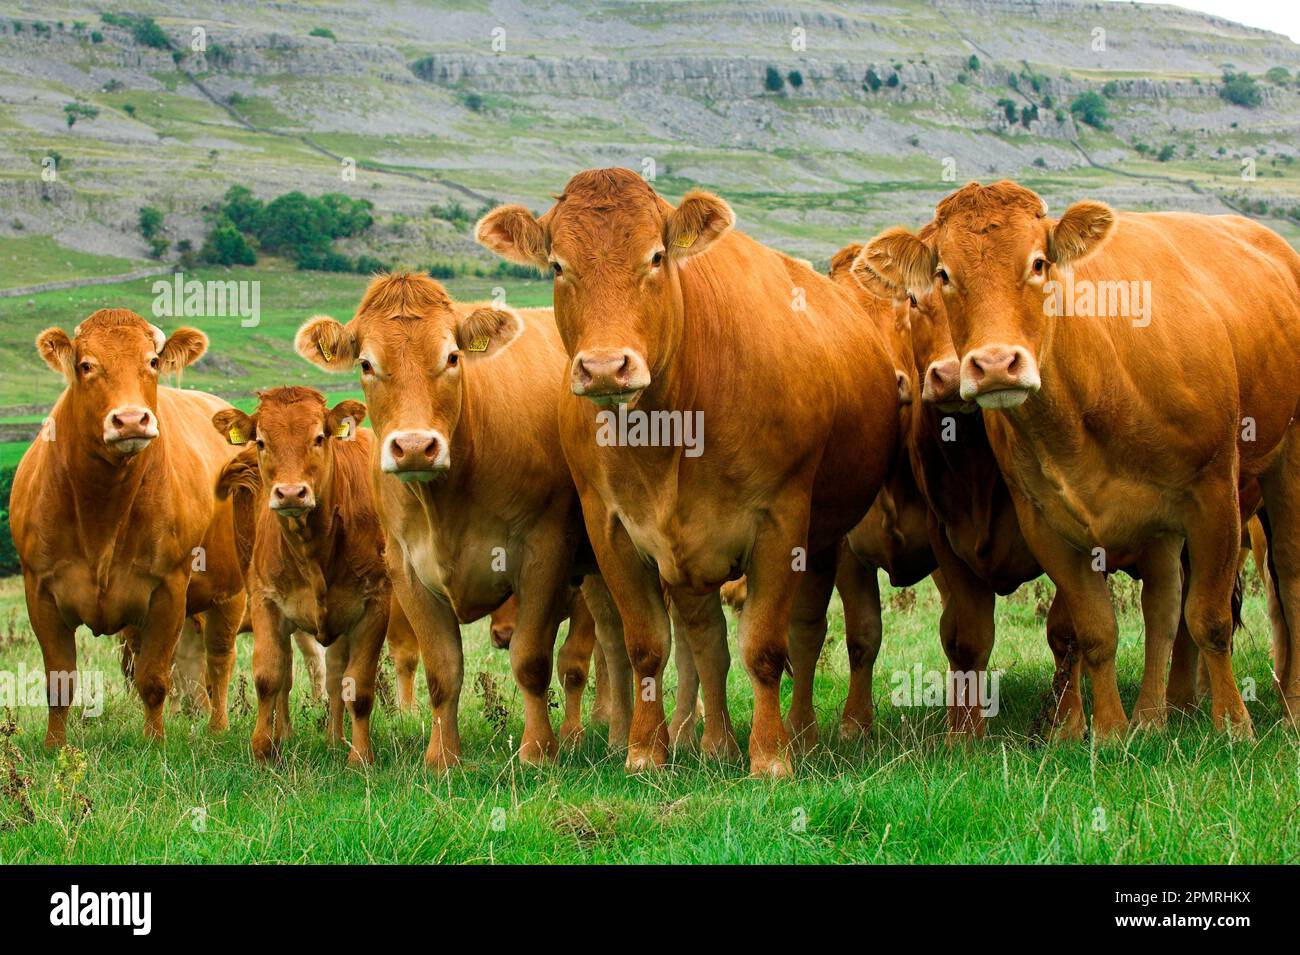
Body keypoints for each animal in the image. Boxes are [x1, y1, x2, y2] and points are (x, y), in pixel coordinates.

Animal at [10, 308, 246, 746]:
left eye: (152, 362)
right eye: (86, 365)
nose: (132, 419)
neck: (102, 507)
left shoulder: (169, 589)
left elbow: (154, 678)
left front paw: (154, 742)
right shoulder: (40, 591)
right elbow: (59, 681)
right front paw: (54, 747)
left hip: (231, 589)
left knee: (220, 660)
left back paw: (218, 727)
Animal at [212, 387, 389, 764]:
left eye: (319, 437)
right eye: (261, 441)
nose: (291, 493)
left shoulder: (376, 605)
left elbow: (358, 686)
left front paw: (360, 756)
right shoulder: (264, 599)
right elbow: (269, 676)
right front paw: (264, 749)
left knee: (335, 675)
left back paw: (336, 739)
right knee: (287, 674)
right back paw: (285, 735)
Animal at [295, 273, 633, 768]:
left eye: (452, 357)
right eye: (366, 363)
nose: (415, 447)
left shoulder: (545, 552)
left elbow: (530, 659)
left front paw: (538, 750)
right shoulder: (405, 568)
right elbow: (442, 670)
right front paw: (442, 756)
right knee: (615, 639)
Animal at [476, 168, 900, 776]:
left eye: (655, 257)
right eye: (557, 265)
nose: (604, 366)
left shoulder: (782, 522)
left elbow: (765, 647)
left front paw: (771, 756)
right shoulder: (612, 530)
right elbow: (649, 646)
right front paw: (644, 751)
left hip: (823, 539)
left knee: (804, 634)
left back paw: (800, 734)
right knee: (706, 643)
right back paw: (714, 740)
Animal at [863, 180, 1300, 735]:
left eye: (1038, 263)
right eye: (943, 274)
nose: (994, 365)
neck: (1096, 380)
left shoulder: (1215, 495)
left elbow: (1211, 618)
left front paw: (1233, 725)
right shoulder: (1048, 526)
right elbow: (1095, 630)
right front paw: (1111, 731)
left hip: (1287, 466)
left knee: (1288, 581)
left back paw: (1289, 706)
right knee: (1164, 605)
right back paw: (1156, 714)